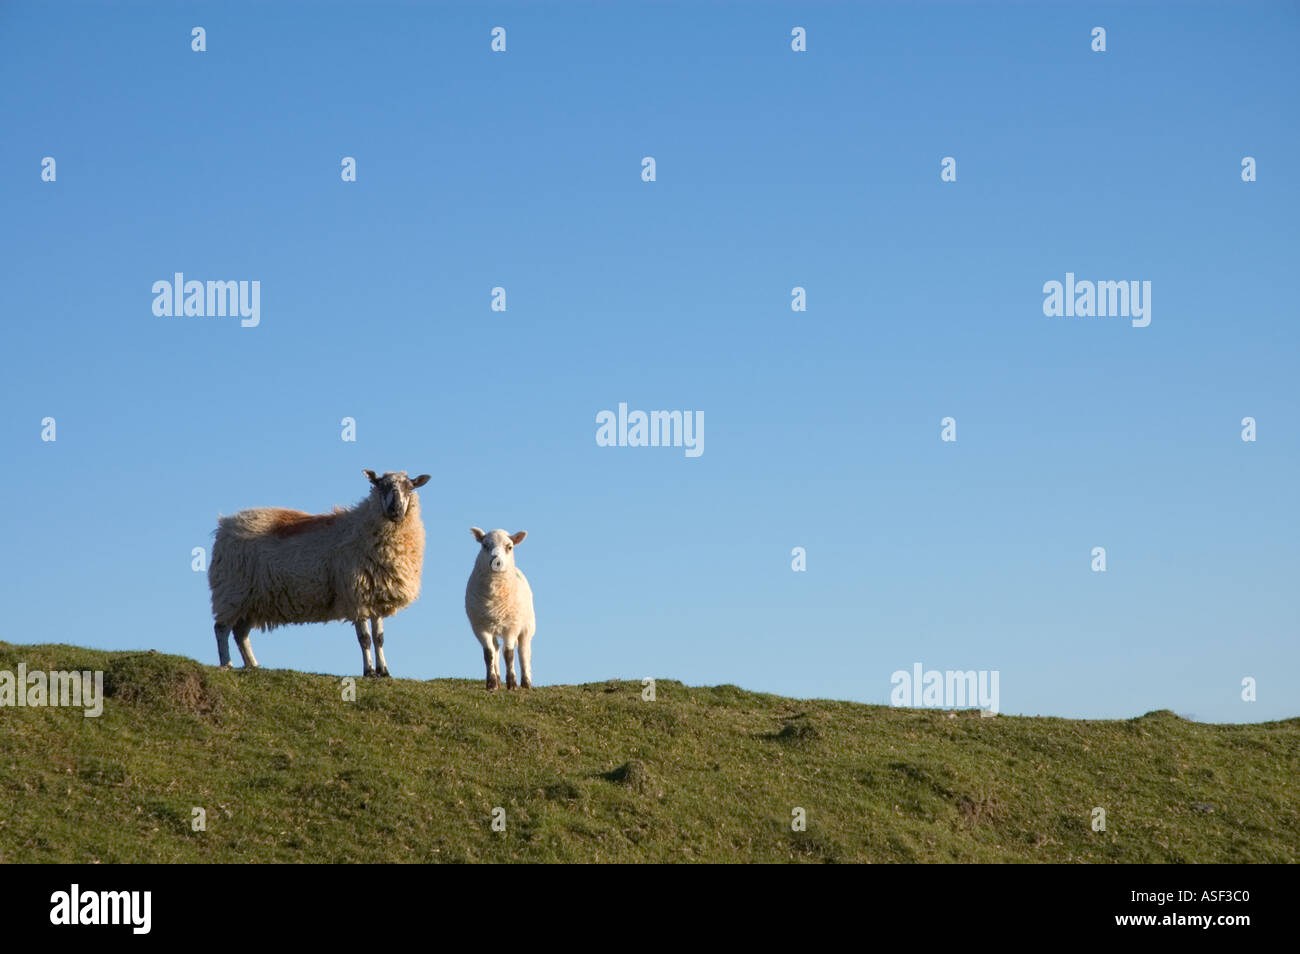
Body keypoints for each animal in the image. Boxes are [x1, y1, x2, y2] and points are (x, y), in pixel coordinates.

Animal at [208, 469, 430, 677]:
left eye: (410, 487)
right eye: (380, 485)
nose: (395, 510)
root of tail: (224, 525)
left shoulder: (375, 595)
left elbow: (379, 638)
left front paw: (384, 671)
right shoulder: (355, 595)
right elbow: (365, 639)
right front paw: (369, 672)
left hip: (252, 599)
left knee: (240, 633)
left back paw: (252, 665)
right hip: (231, 592)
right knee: (221, 629)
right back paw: (226, 664)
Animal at [465, 527, 536, 690]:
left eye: (509, 547)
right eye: (485, 545)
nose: (496, 561)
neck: (495, 598)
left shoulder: (511, 626)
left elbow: (509, 654)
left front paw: (512, 684)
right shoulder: (480, 627)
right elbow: (489, 654)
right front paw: (491, 684)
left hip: (527, 626)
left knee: (523, 652)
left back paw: (526, 682)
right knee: (496, 648)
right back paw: (497, 679)